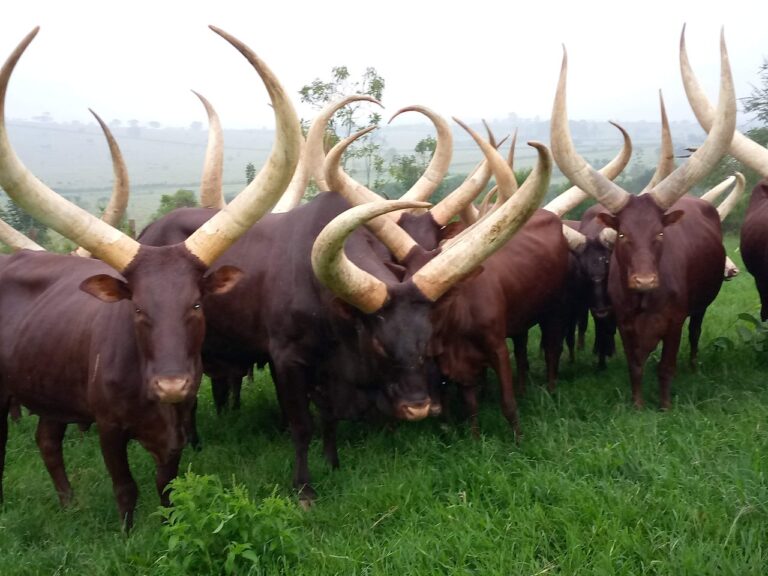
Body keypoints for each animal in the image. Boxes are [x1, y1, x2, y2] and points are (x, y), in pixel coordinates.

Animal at [0, 26, 302, 528]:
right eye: (138, 309)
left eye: (196, 304)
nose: (172, 385)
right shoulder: (107, 427)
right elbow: (126, 488)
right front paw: (126, 532)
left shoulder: (175, 429)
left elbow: (167, 486)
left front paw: (165, 523)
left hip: (50, 390)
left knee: (47, 441)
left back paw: (68, 502)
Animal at [550, 33, 735, 409]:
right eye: (623, 235)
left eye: (661, 234)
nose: (645, 280)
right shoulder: (624, 323)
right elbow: (634, 364)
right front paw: (637, 405)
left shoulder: (674, 323)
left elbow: (666, 365)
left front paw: (663, 406)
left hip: (701, 306)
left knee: (696, 333)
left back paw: (693, 365)